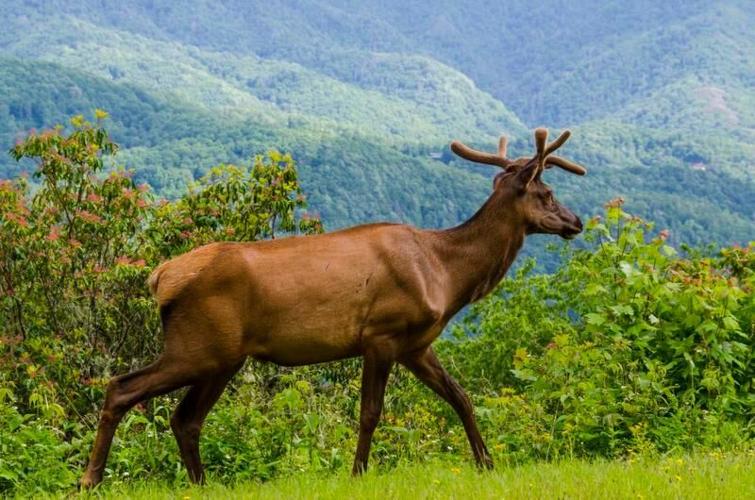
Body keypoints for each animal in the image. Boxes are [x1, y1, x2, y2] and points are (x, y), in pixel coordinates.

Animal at [80, 128, 586, 488]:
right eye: (546, 194)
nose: (576, 221)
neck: (446, 276)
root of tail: (159, 277)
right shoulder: (382, 334)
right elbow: (370, 412)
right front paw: (358, 473)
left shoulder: (416, 345)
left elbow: (460, 397)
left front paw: (487, 463)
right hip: (198, 347)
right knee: (121, 387)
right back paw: (90, 479)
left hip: (221, 357)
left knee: (185, 419)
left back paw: (202, 485)